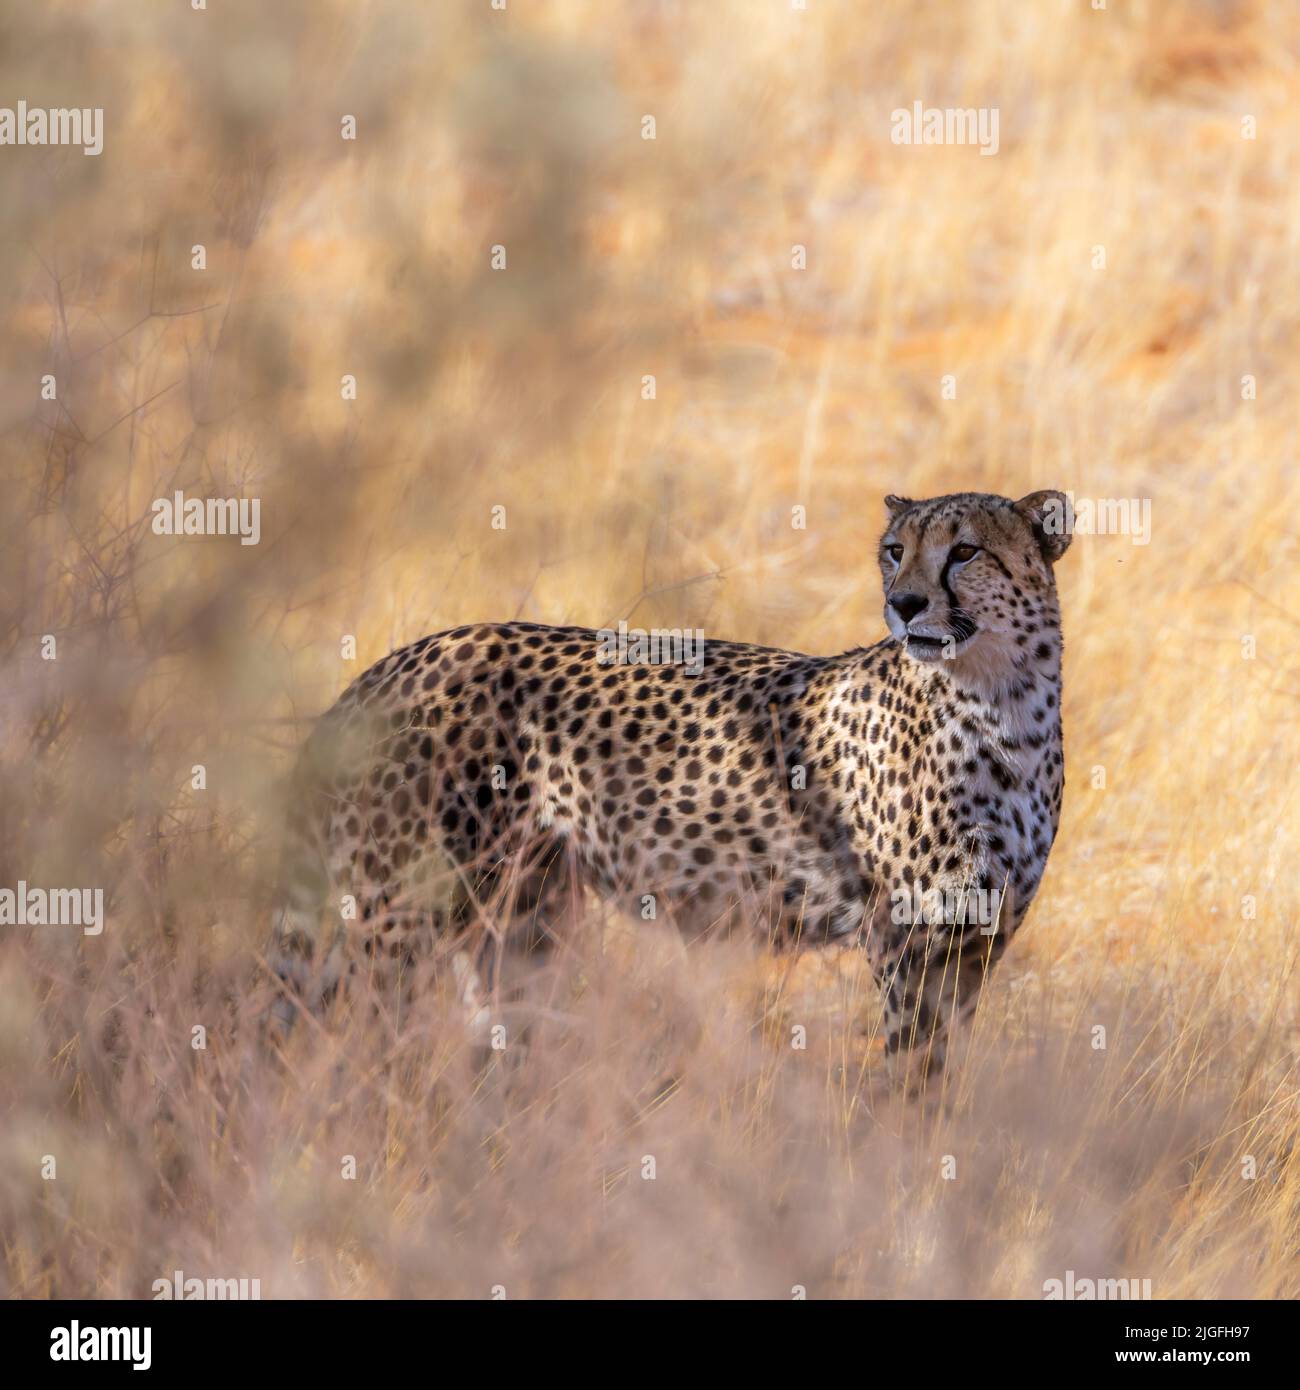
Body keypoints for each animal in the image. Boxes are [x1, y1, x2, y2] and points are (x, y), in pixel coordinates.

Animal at [266, 489, 1072, 1082]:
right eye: (895, 552)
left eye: (965, 550)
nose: (903, 604)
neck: (1004, 703)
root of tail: (398, 660)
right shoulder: (906, 937)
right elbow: (912, 1077)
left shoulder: (977, 940)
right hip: (405, 912)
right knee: (360, 1035)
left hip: (519, 919)